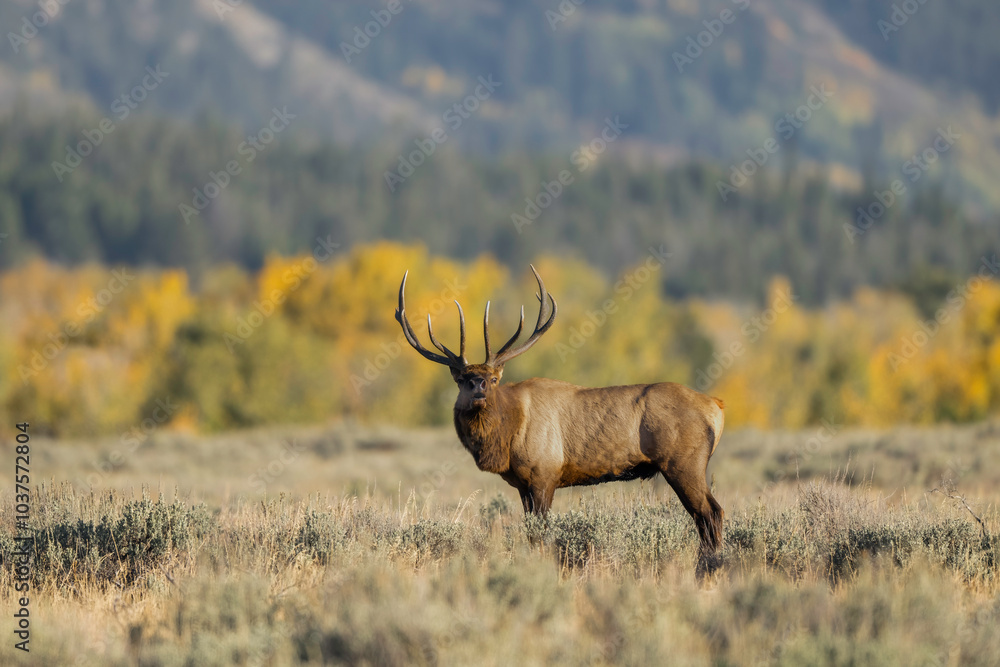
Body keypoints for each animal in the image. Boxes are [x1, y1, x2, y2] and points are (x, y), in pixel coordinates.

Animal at [395, 266, 727, 563]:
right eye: (461, 379)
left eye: (493, 379)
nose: (478, 386)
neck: (508, 438)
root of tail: (716, 407)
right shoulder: (523, 483)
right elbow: (530, 531)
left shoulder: (545, 471)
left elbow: (540, 532)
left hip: (684, 463)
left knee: (710, 513)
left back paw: (710, 562)